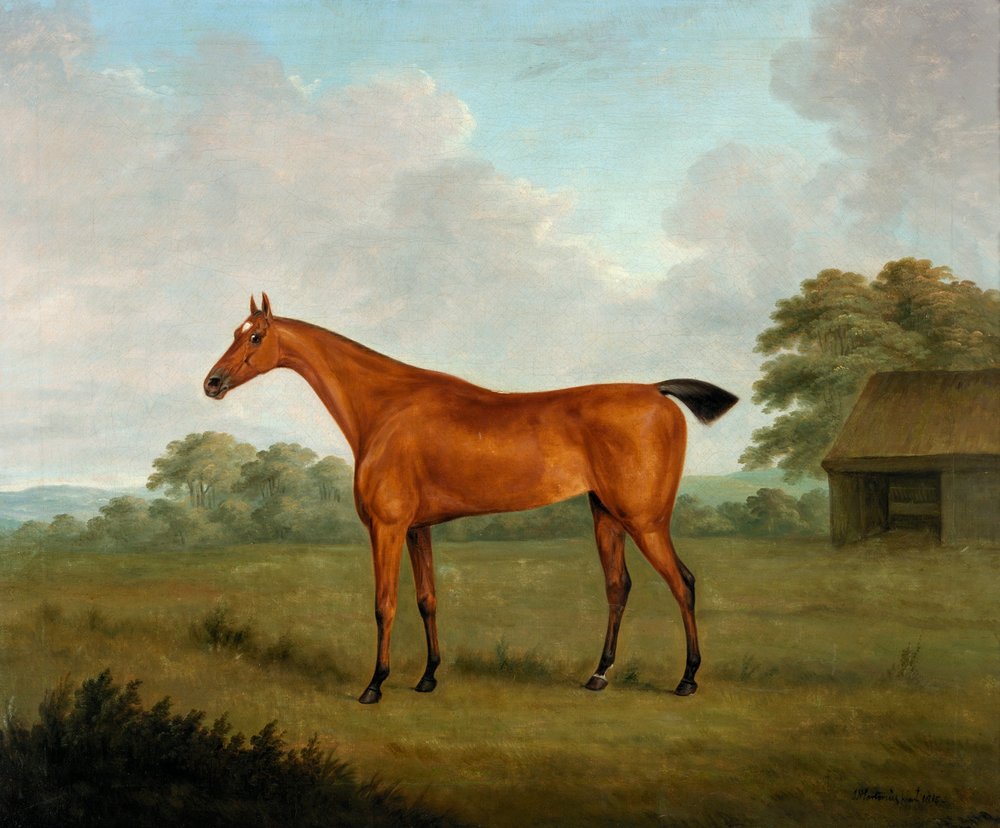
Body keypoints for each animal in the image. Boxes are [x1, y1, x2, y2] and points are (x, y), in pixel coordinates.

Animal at [204, 294, 737, 704]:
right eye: (234, 331)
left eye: (255, 337)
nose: (212, 382)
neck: (386, 408)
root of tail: (655, 391)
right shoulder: (417, 529)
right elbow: (427, 600)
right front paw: (427, 677)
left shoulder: (387, 527)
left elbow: (384, 604)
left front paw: (375, 685)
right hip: (606, 516)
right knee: (618, 587)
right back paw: (598, 675)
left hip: (645, 521)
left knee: (683, 584)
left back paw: (687, 680)